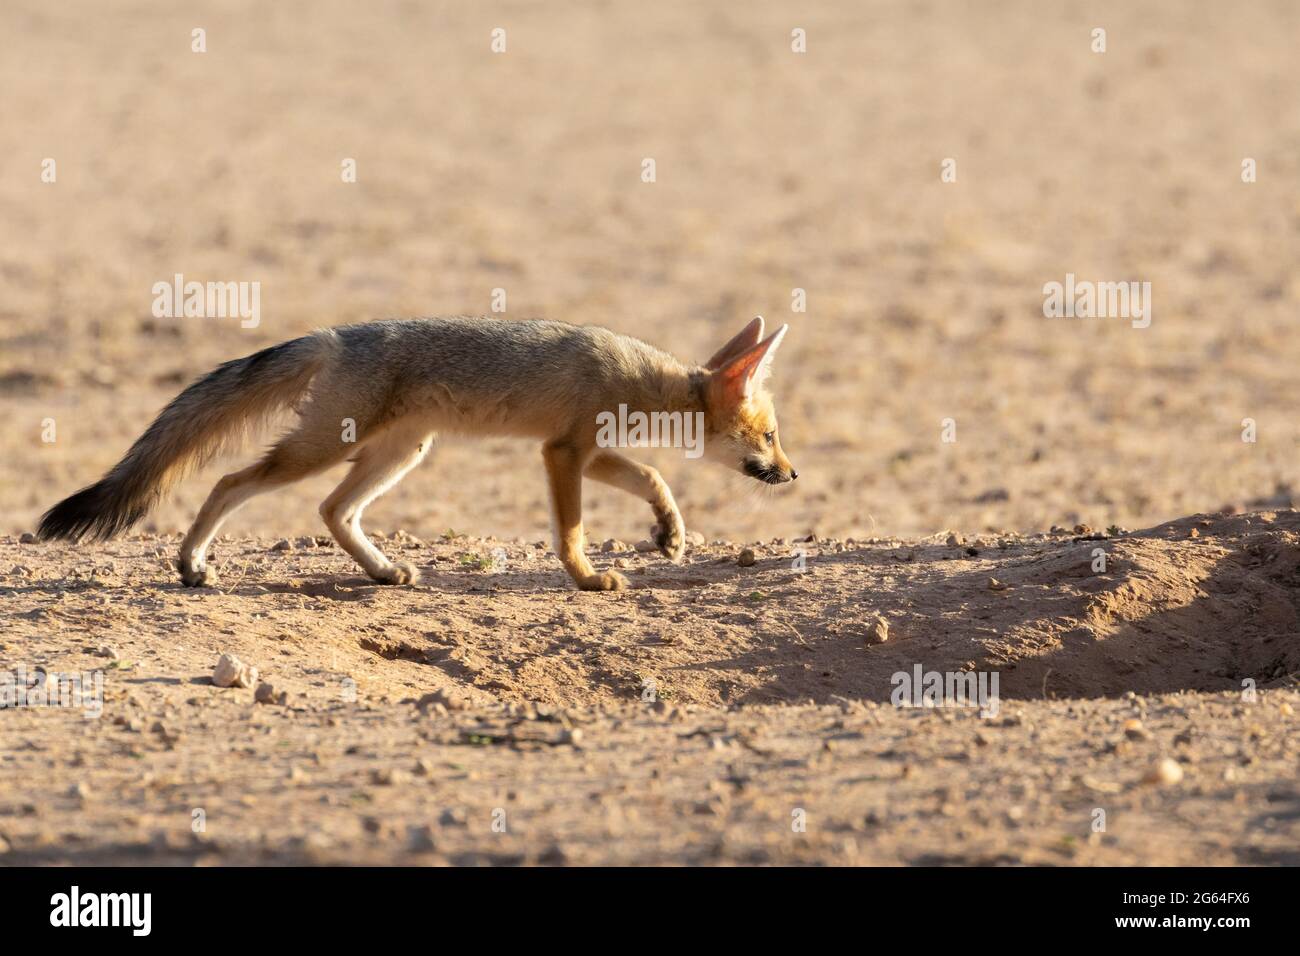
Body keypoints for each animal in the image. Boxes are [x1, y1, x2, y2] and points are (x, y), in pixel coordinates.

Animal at [37, 315, 797, 591]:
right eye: (769, 437)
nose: (793, 473)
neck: (640, 376)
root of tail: (336, 335)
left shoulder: (589, 451)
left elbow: (654, 478)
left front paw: (670, 532)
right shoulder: (562, 452)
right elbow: (572, 531)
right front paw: (586, 579)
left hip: (399, 454)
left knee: (332, 510)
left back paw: (381, 571)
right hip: (322, 449)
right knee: (230, 482)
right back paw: (192, 564)